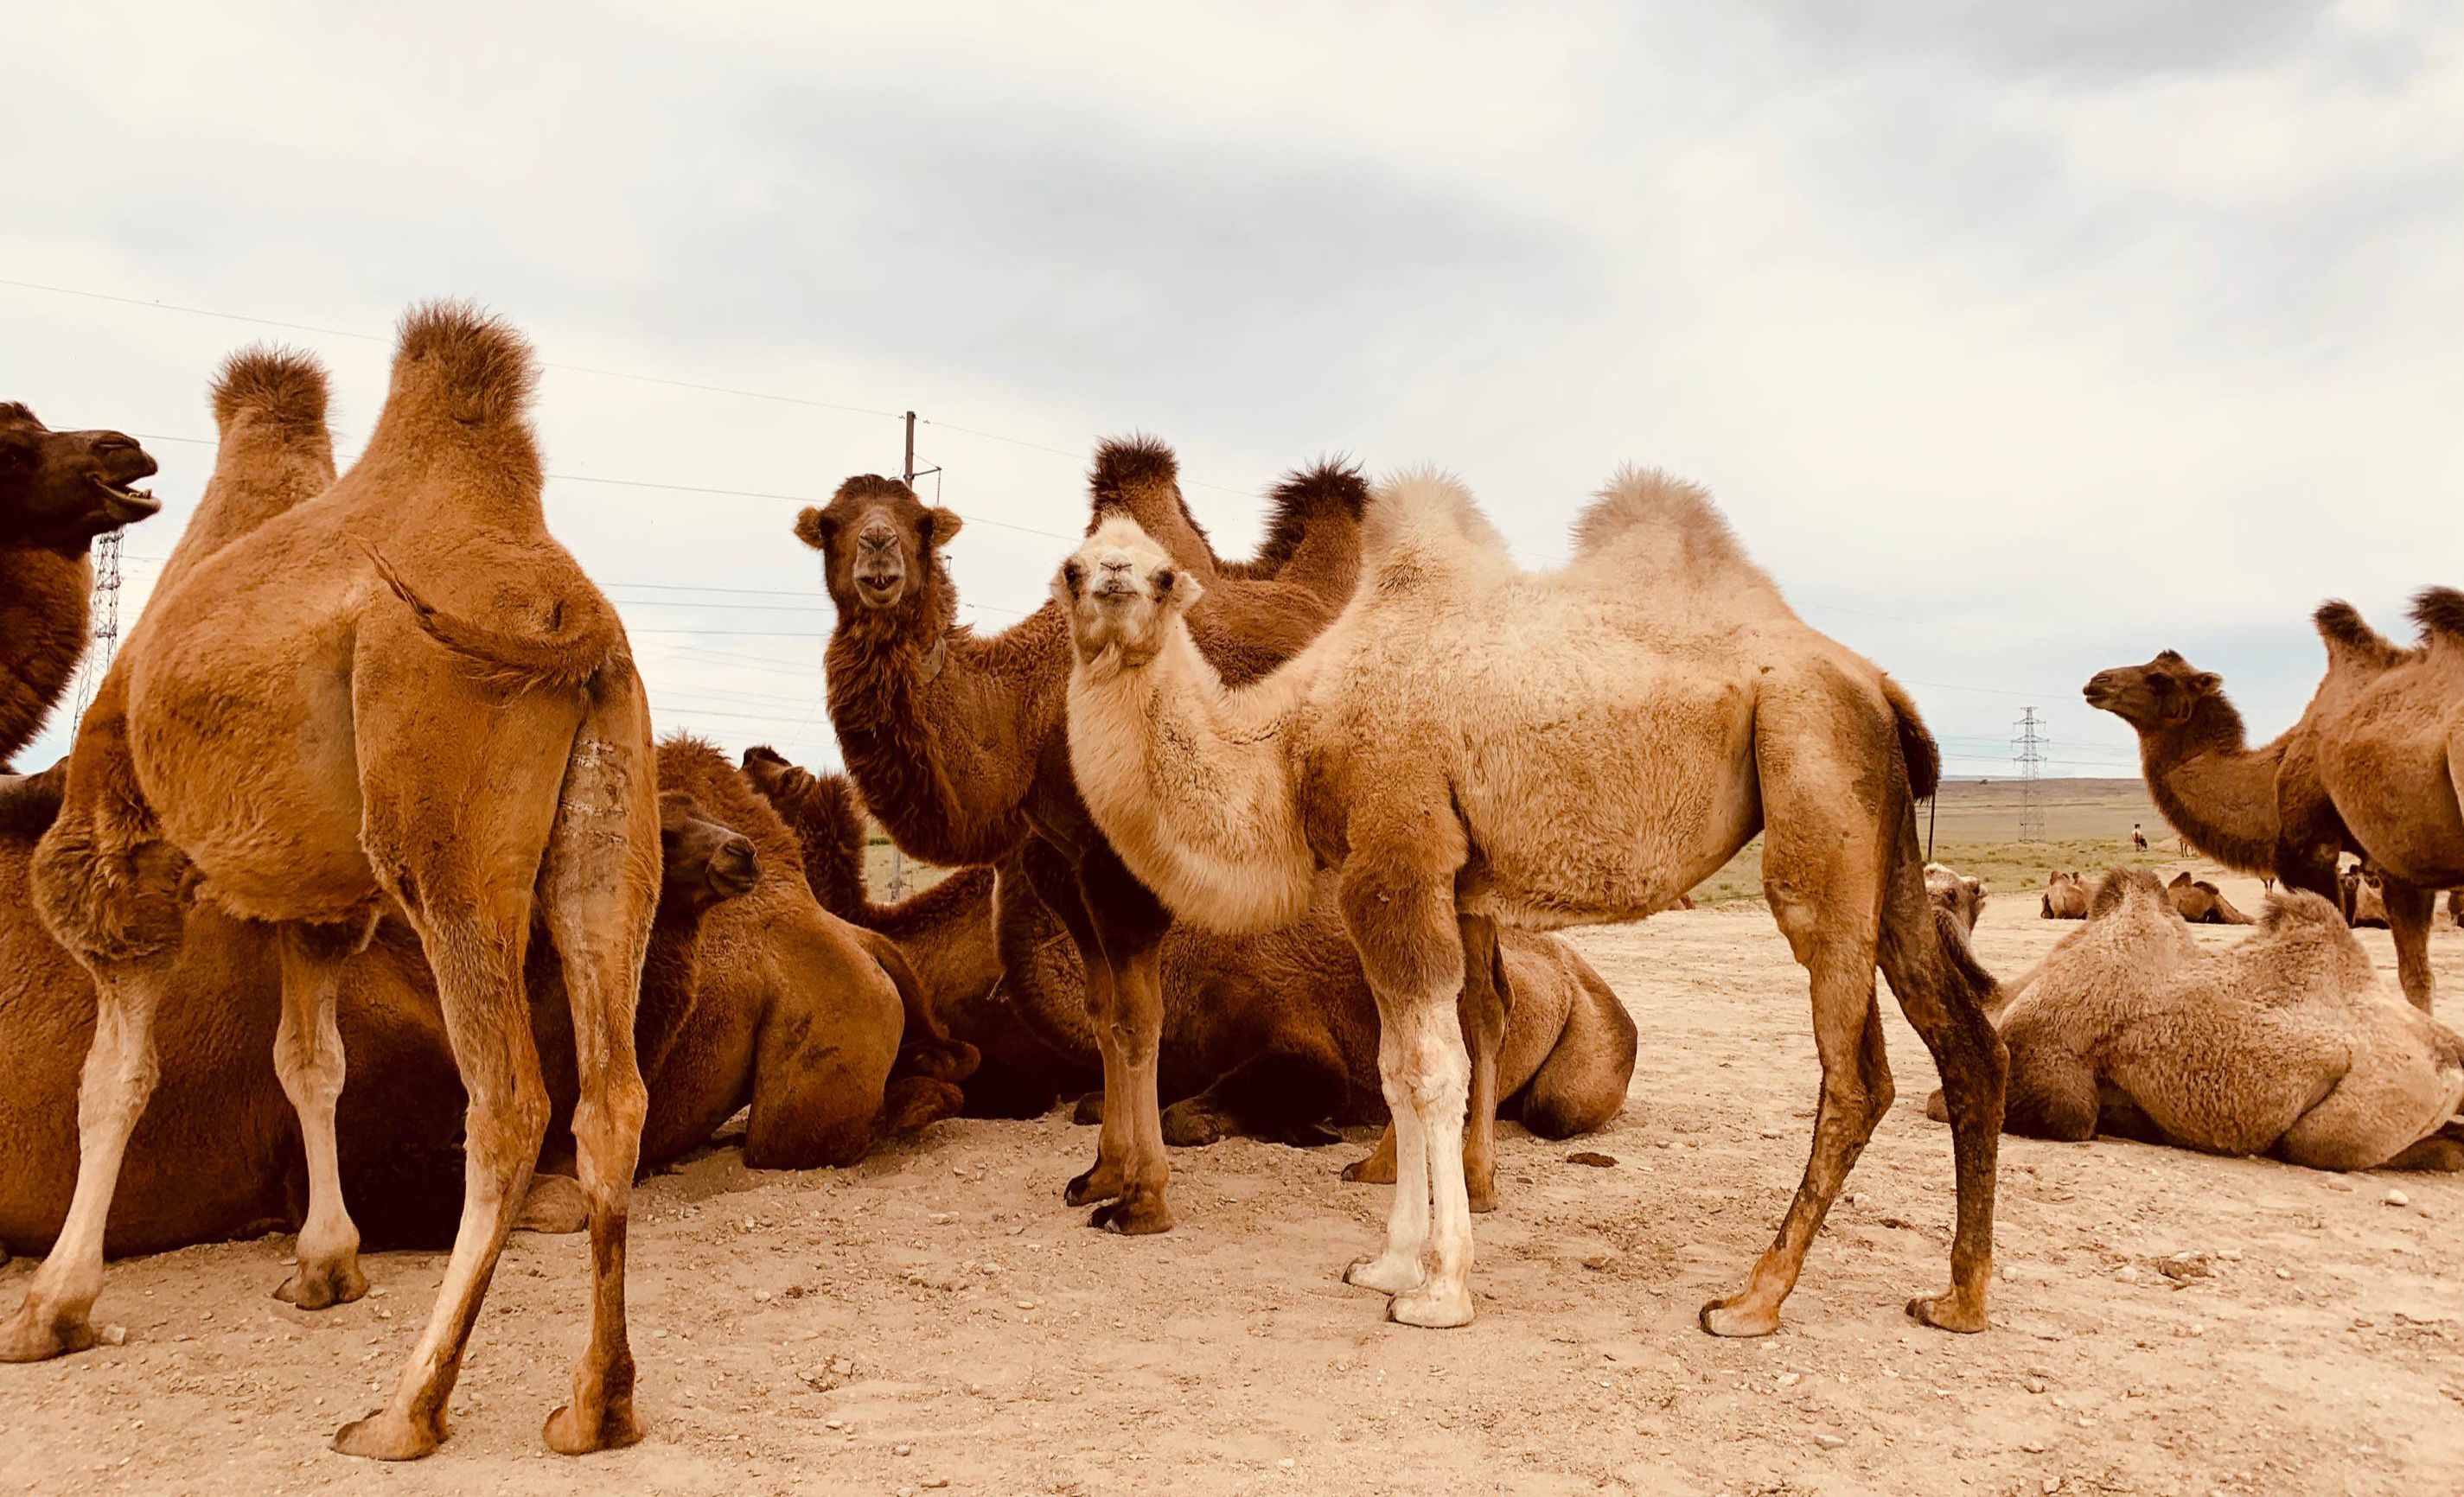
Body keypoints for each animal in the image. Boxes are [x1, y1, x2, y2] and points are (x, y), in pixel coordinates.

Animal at [798, 440, 1368, 1234]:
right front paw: (1100, 1175)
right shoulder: (1059, 864)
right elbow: (1105, 1018)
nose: (877, 554)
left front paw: (1143, 1200)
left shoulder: (1127, 869)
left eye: (920, 523)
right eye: (830, 524)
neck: (1030, 710)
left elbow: (1141, 1017)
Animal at [1053, 468, 2004, 1335]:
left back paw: (1751, 1300)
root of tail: (1878, 684)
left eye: (1163, 575)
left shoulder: (1399, 855)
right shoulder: (1391, 881)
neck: (1289, 744)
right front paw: (1385, 1262)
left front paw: (1437, 1290)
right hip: (1884, 834)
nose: (1114, 582)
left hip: (1812, 769)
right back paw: (1957, 1299)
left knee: (1857, 1073)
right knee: (1967, 1041)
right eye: (1073, 566)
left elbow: (1431, 1070)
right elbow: (1396, 1070)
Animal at [1925, 870, 2464, 1171]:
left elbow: (1951, 1106)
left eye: (1958, 890)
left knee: (2316, 1146)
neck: (2004, 996)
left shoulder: (2054, 1076)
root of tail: (2448, 1046)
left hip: (2364, 1107)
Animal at [2088, 596, 2464, 1011]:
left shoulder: (2310, 854)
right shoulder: (2398, 865)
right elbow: (2416, 979)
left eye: (2159, 678)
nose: (2096, 682)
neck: (2272, 776)